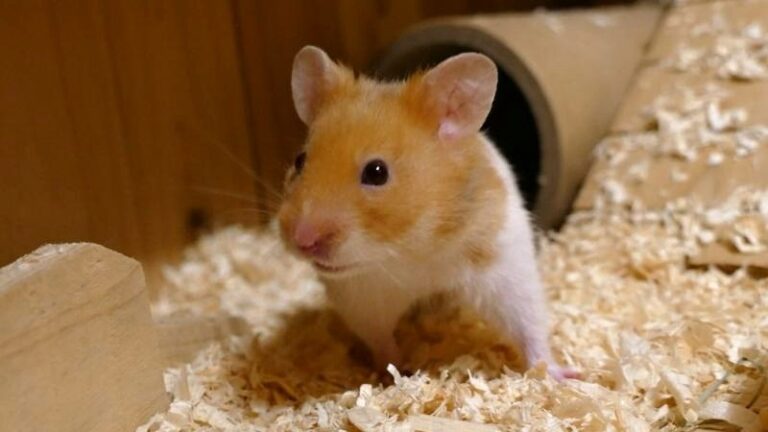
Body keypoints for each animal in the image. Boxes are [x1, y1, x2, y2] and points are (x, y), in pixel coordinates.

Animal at [277, 46, 577, 380]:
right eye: (300, 160)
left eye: (377, 172)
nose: (302, 240)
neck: (412, 246)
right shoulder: (363, 300)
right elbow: (382, 341)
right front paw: (396, 374)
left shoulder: (504, 271)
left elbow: (529, 328)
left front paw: (564, 375)